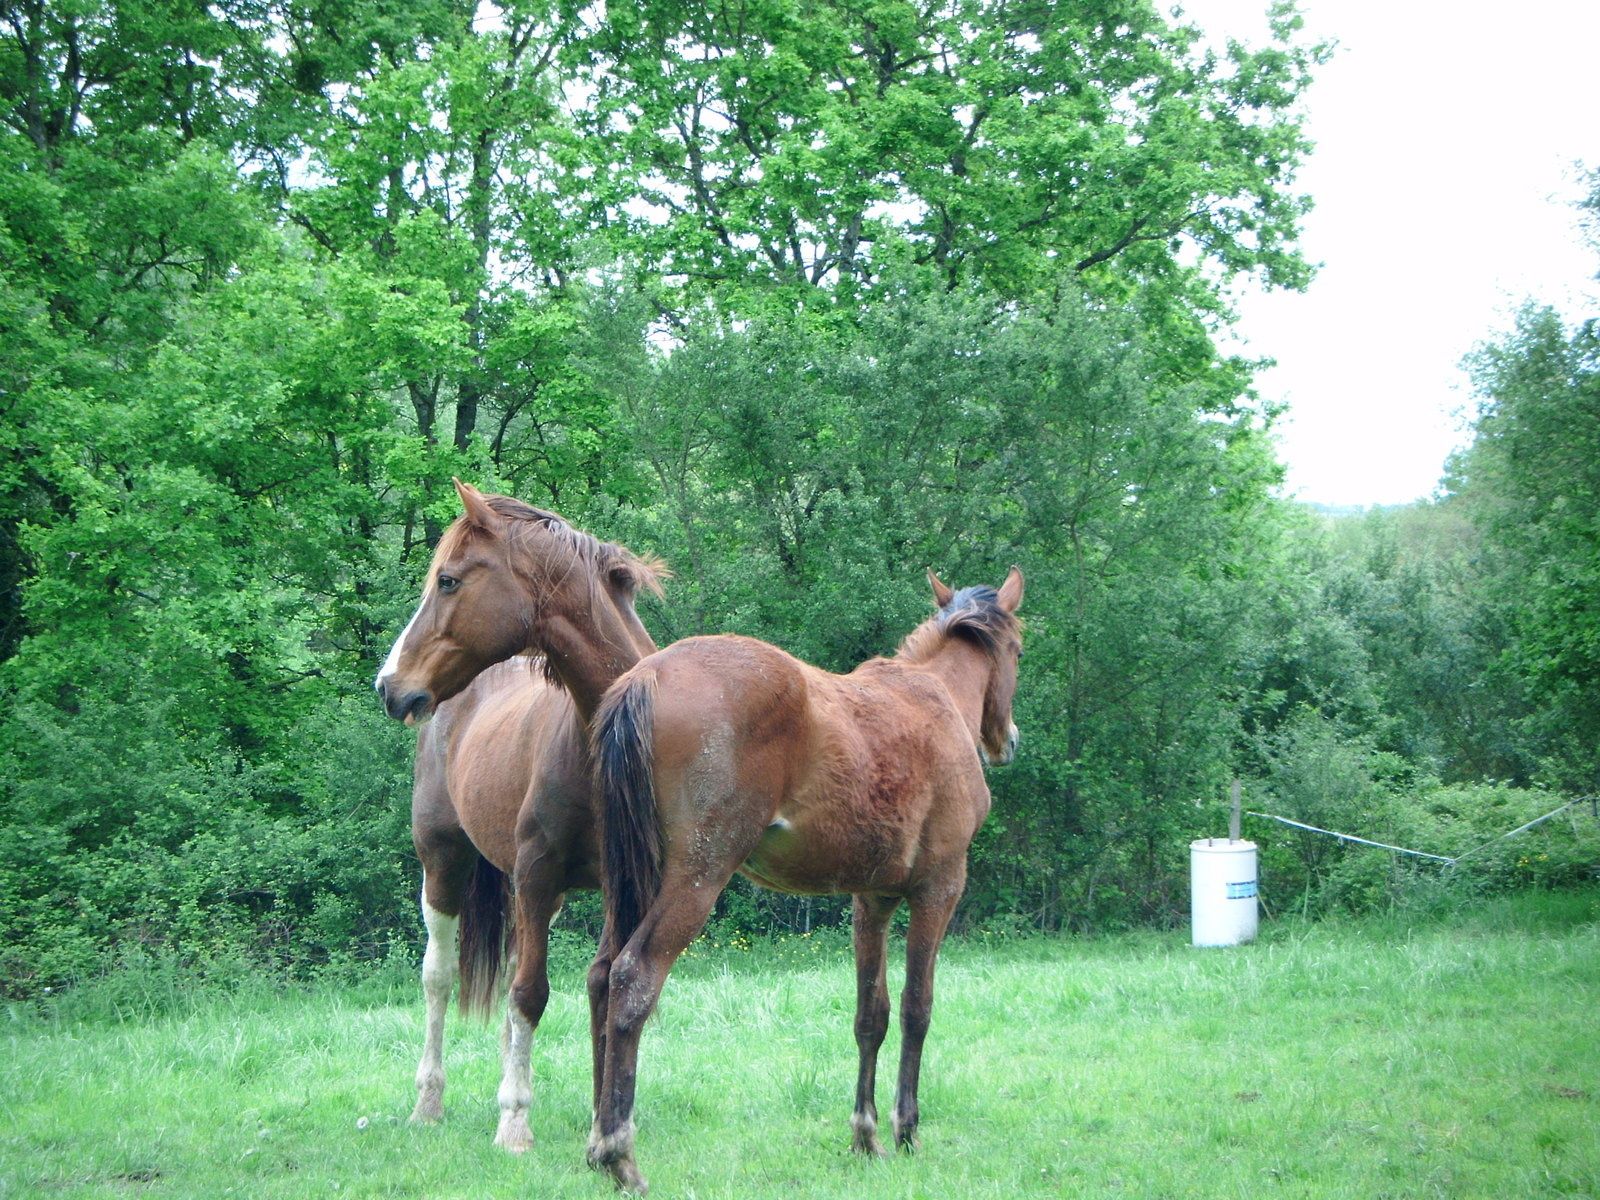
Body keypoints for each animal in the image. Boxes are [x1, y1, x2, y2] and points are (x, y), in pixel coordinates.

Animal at [376, 478, 665, 1150]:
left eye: (448, 580)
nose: (388, 684)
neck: (598, 740)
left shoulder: (620, 883)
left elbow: (606, 983)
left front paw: (606, 1119)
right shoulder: (536, 872)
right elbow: (530, 994)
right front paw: (514, 1125)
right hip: (443, 865)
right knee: (440, 977)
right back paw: (430, 1102)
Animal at [587, 567, 1024, 1194]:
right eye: (1019, 649)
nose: (1007, 739)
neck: (933, 699)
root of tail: (648, 675)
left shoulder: (872, 899)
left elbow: (872, 1014)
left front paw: (865, 1135)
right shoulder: (938, 891)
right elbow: (916, 1008)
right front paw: (905, 1130)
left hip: (630, 881)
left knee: (602, 977)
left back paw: (596, 1140)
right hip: (696, 878)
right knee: (632, 978)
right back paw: (619, 1154)